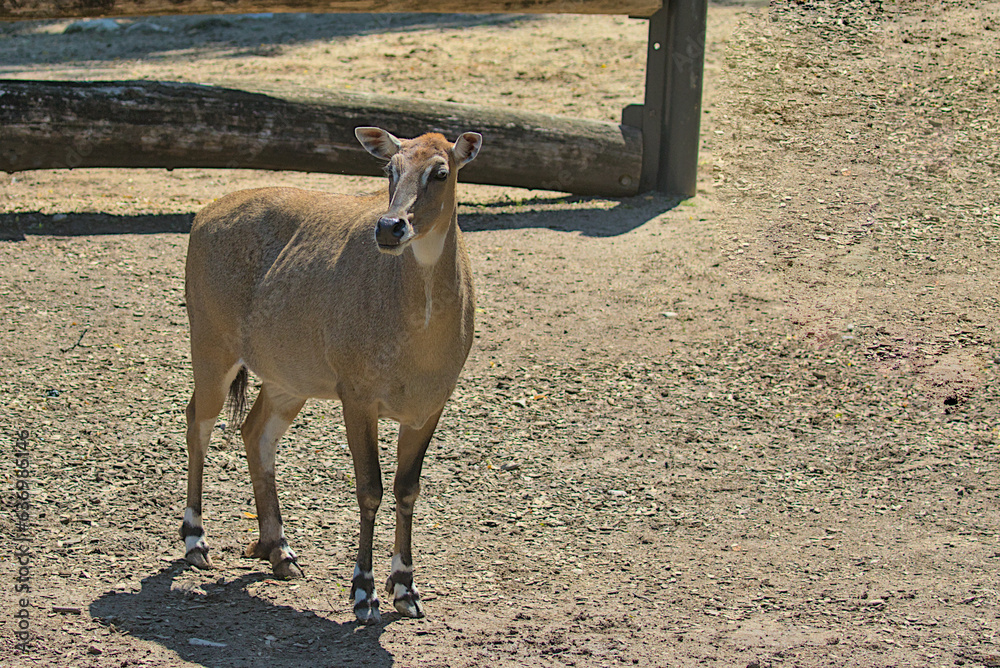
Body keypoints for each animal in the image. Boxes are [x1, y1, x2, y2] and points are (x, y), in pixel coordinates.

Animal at [179, 127, 482, 623]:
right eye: (390, 167)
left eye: (441, 171)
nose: (390, 227)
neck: (419, 335)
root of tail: (203, 215)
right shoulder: (357, 397)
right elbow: (370, 489)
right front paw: (364, 593)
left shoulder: (428, 407)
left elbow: (407, 489)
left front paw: (407, 590)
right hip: (211, 347)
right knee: (197, 423)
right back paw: (195, 541)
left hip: (287, 380)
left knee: (255, 431)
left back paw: (279, 551)